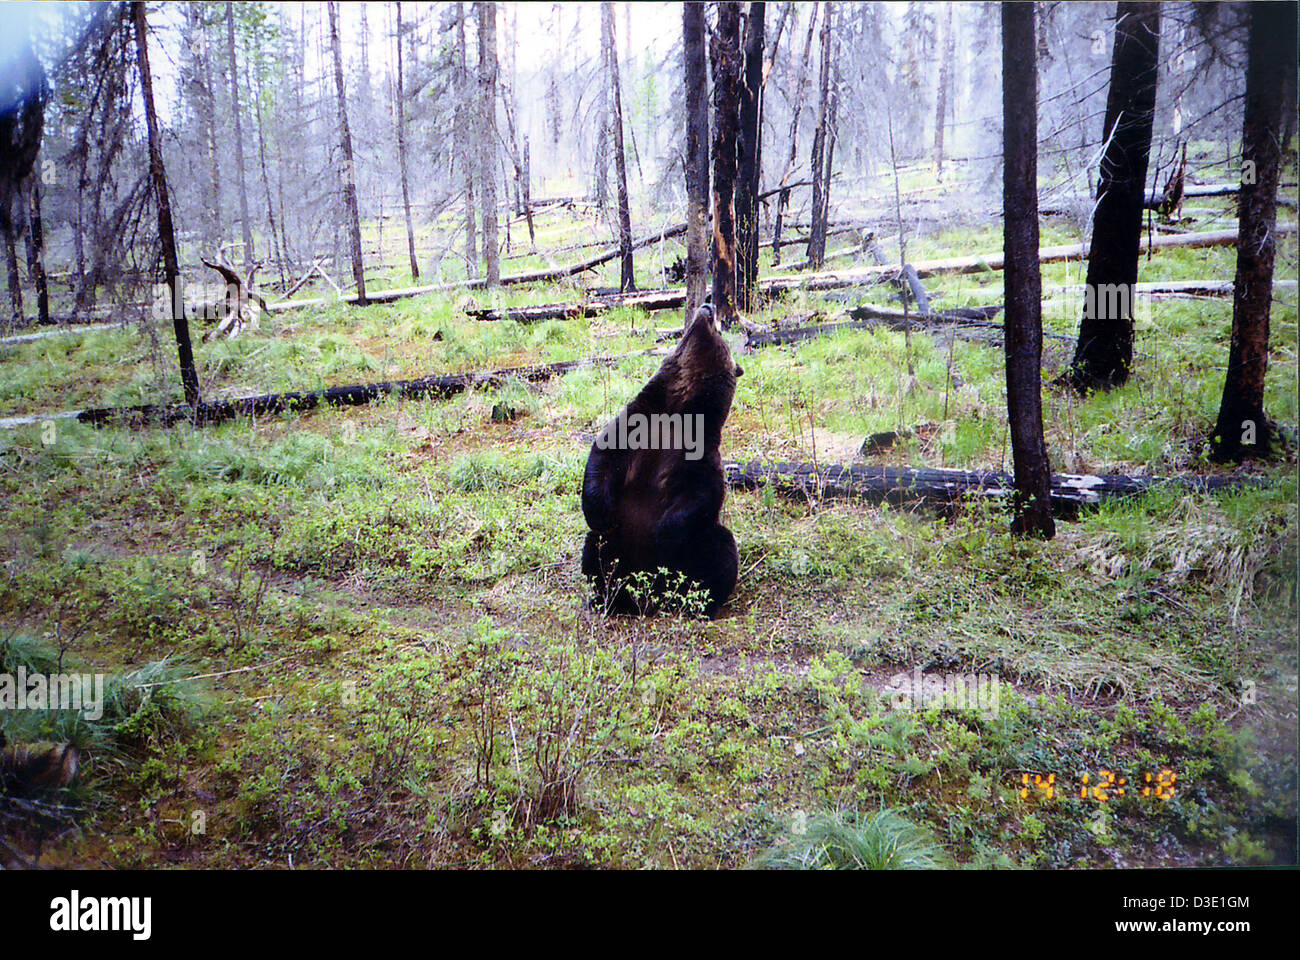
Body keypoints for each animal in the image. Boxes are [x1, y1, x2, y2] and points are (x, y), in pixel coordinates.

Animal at [581, 304, 743, 616]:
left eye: (719, 329)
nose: (708, 306)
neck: (678, 412)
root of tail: (649, 597)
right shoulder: (635, 425)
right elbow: (602, 458)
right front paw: (599, 510)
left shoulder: (698, 450)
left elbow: (702, 493)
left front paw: (664, 535)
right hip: (614, 545)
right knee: (595, 554)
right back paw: (607, 598)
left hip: (700, 549)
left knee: (721, 552)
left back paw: (699, 603)